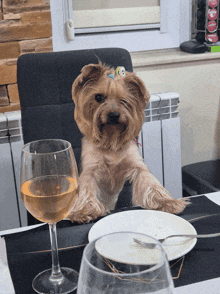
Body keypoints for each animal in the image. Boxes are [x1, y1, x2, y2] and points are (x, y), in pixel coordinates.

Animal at [68, 62, 188, 223]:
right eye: (98, 97)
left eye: (124, 100)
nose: (113, 115)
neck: (111, 139)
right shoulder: (90, 169)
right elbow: (87, 189)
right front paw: (83, 211)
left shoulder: (137, 165)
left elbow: (151, 184)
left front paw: (168, 202)